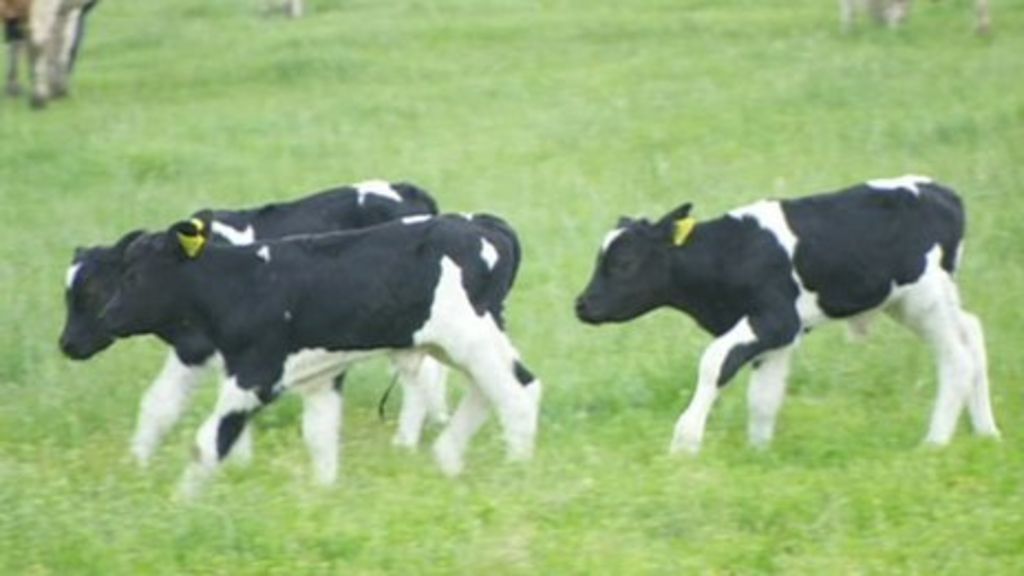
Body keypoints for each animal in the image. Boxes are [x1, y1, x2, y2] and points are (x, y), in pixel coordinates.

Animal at [60, 181, 450, 476]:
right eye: (68, 294)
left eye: (93, 291)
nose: (66, 344)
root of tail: (409, 191)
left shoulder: (202, 348)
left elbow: (174, 404)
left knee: (425, 372)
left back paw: (411, 438)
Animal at [99, 212, 542, 498]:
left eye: (135, 275)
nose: (108, 315)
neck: (245, 283)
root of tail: (483, 225)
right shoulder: (320, 375)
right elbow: (320, 437)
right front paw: (323, 493)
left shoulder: (257, 373)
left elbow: (209, 441)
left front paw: (181, 504)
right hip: (459, 342)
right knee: (497, 388)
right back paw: (448, 458)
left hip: (470, 336)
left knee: (515, 391)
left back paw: (515, 471)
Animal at [576, 175, 998, 454]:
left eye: (625, 263)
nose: (581, 305)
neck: (731, 252)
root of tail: (940, 190)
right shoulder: (779, 335)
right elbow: (764, 396)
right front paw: (759, 452)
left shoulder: (775, 320)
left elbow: (715, 362)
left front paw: (686, 440)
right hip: (911, 302)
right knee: (973, 330)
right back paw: (986, 431)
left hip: (925, 299)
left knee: (957, 358)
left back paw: (935, 442)